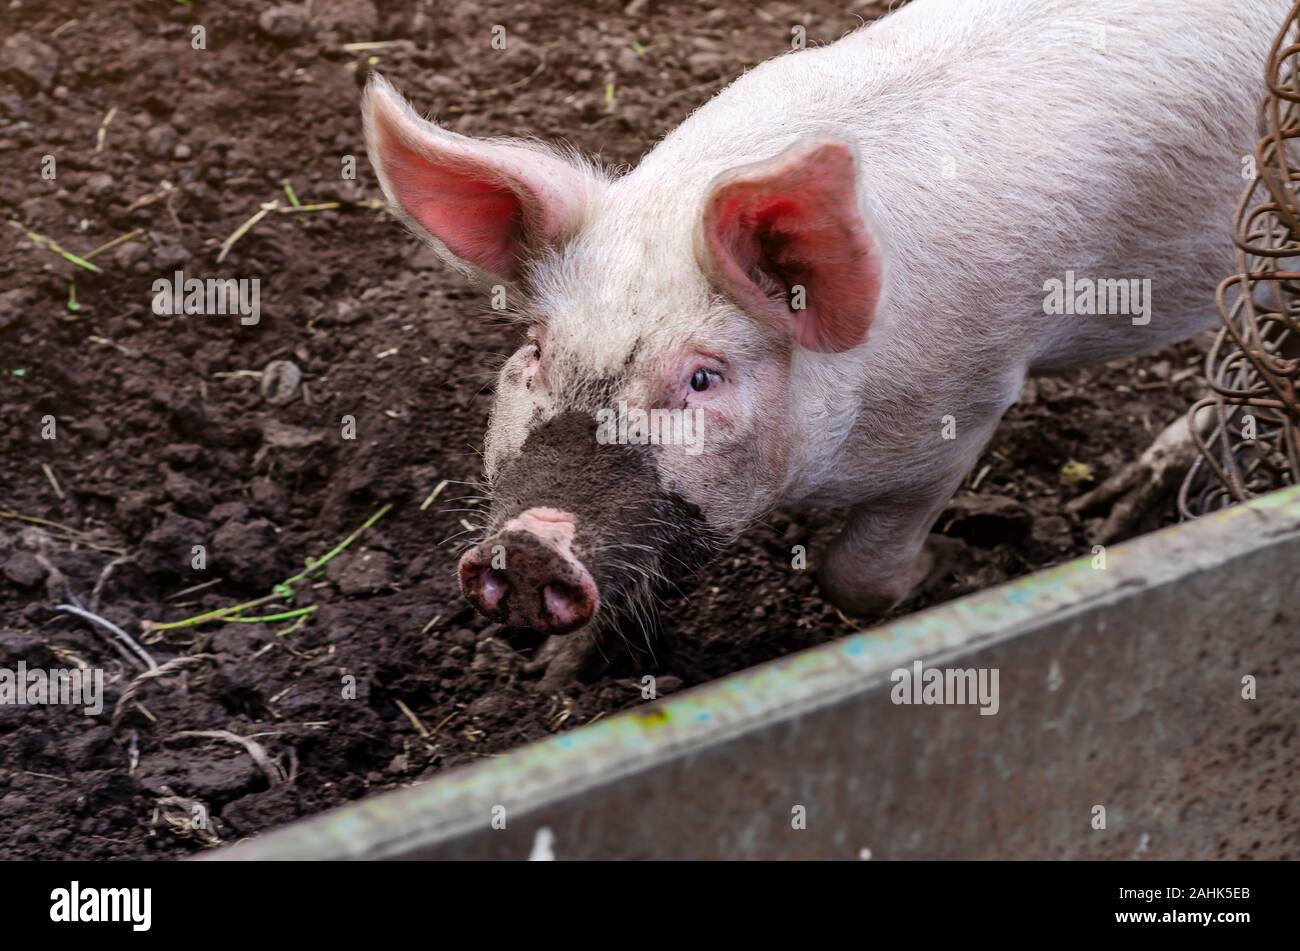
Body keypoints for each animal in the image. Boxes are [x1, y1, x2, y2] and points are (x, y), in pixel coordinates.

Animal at [363, 0, 1286, 653]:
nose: (529, 543)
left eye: (704, 377)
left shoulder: (965, 412)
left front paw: (951, 567)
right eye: (535, 349)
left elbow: (857, 574)